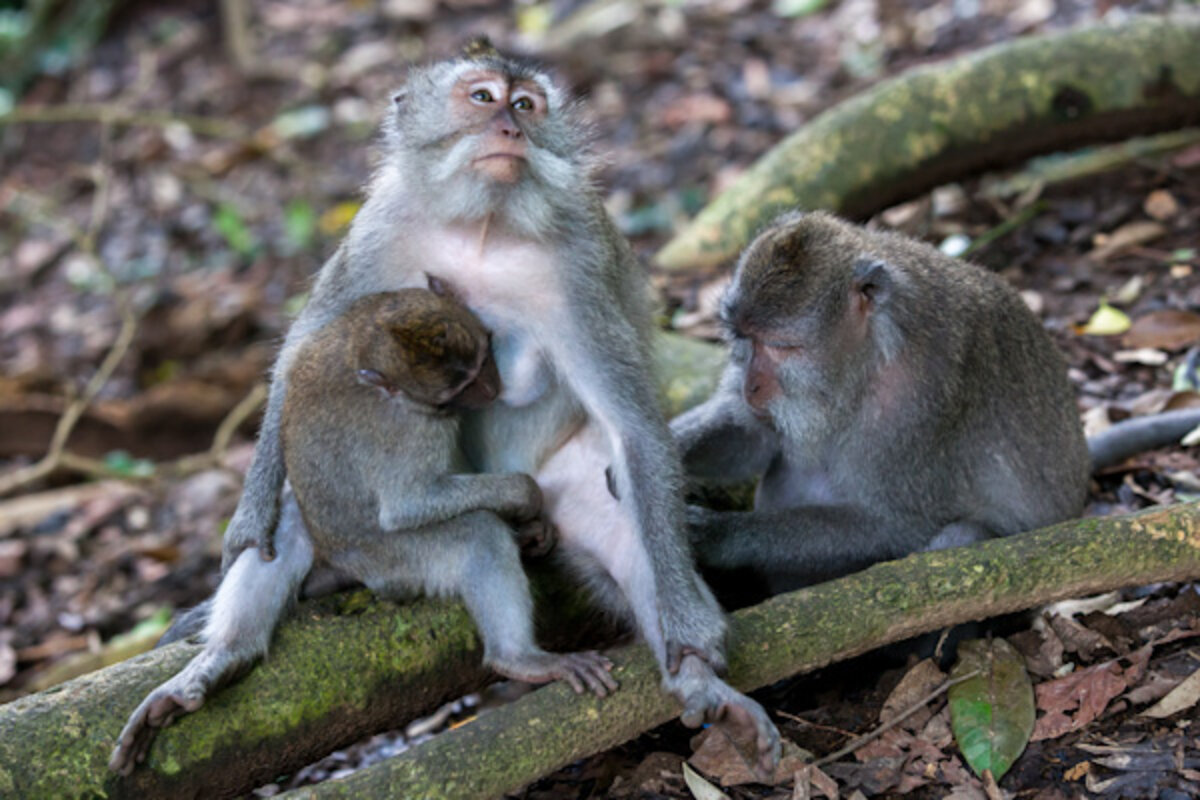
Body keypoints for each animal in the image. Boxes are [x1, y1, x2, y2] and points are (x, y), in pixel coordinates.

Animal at [110, 286, 617, 774]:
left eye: (483, 360)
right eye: (461, 385)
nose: (491, 388)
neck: (365, 346)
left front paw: (532, 528)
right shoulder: (415, 425)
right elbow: (408, 503)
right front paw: (526, 503)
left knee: (284, 527)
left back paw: (223, 657)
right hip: (399, 563)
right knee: (476, 537)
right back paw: (519, 658)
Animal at [671, 210, 1200, 597]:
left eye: (783, 348)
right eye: (741, 338)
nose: (751, 388)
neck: (869, 359)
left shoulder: (917, 404)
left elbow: (899, 527)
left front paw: (721, 536)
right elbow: (749, 436)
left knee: (955, 541)